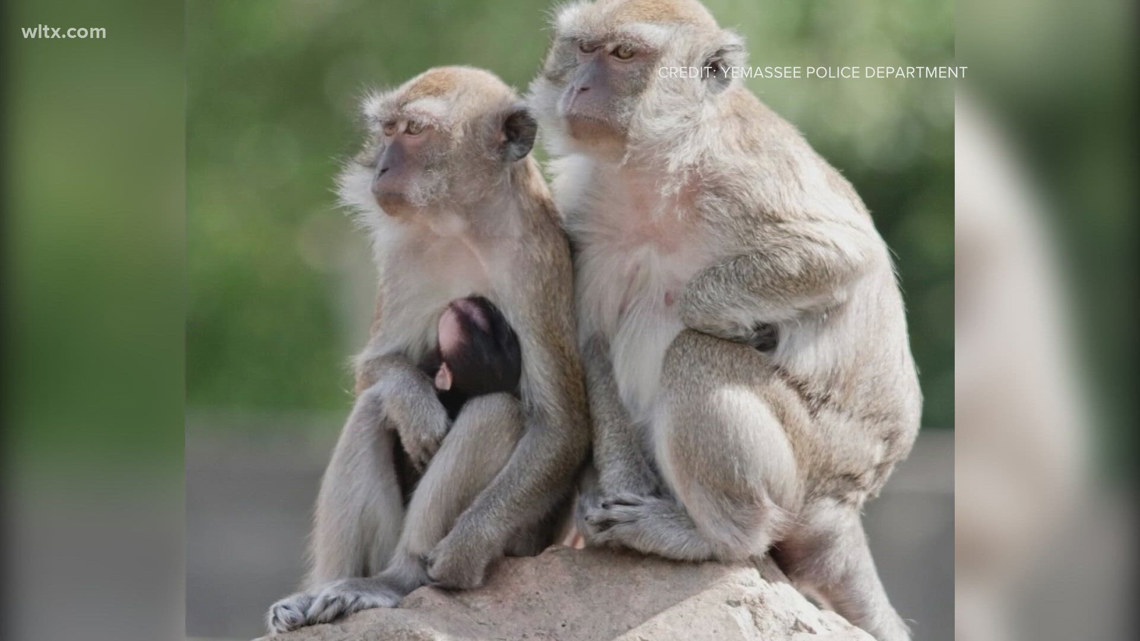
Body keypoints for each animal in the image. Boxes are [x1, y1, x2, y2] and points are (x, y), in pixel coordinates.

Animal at [266, 67, 589, 634]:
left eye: (415, 131)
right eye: (388, 129)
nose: (382, 165)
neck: (465, 226)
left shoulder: (537, 265)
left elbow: (561, 426)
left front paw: (461, 554)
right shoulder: (404, 254)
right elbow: (375, 372)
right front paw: (414, 402)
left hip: (524, 541)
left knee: (496, 412)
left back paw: (401, 577)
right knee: (372, 410)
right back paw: (329, 587)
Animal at [528, 2, 922, 640]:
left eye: (624, 55)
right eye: (582, 48)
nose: (581, 86)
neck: (653, 168)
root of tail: (849, 503)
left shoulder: (742, 174)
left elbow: (843, 255)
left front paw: (728, 319)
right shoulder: (583, 211)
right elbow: (592, 340)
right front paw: (615, 490)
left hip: (809, 469)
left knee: (696, 355)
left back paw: (716, 537)